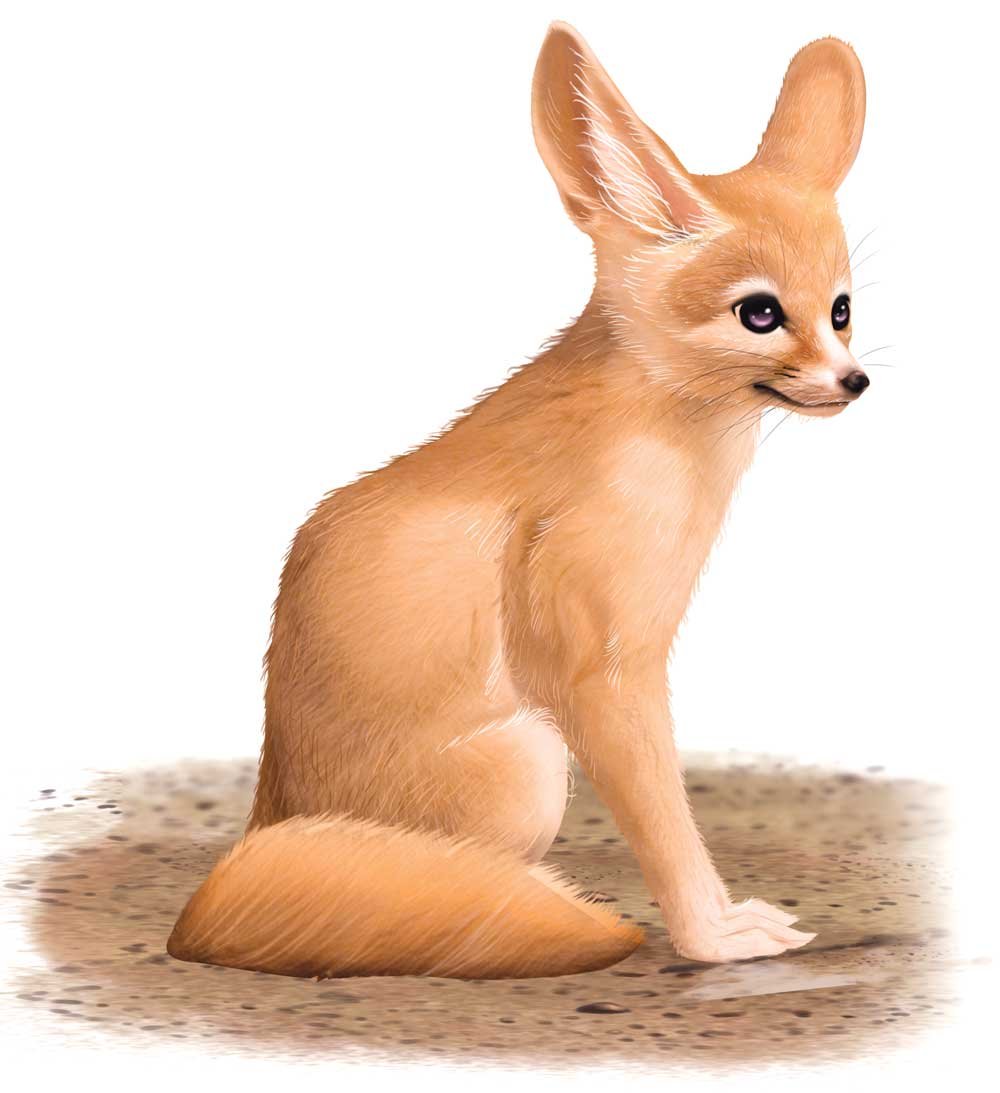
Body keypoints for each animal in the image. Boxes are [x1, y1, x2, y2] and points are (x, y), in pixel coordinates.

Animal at [167, 22, 870, 978]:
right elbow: (666, 821)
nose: (855, 380)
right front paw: (712, 934)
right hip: (534, 759)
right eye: (759, 314)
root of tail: (252, 835)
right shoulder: (601, 672)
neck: (665, 442)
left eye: (840, 309)